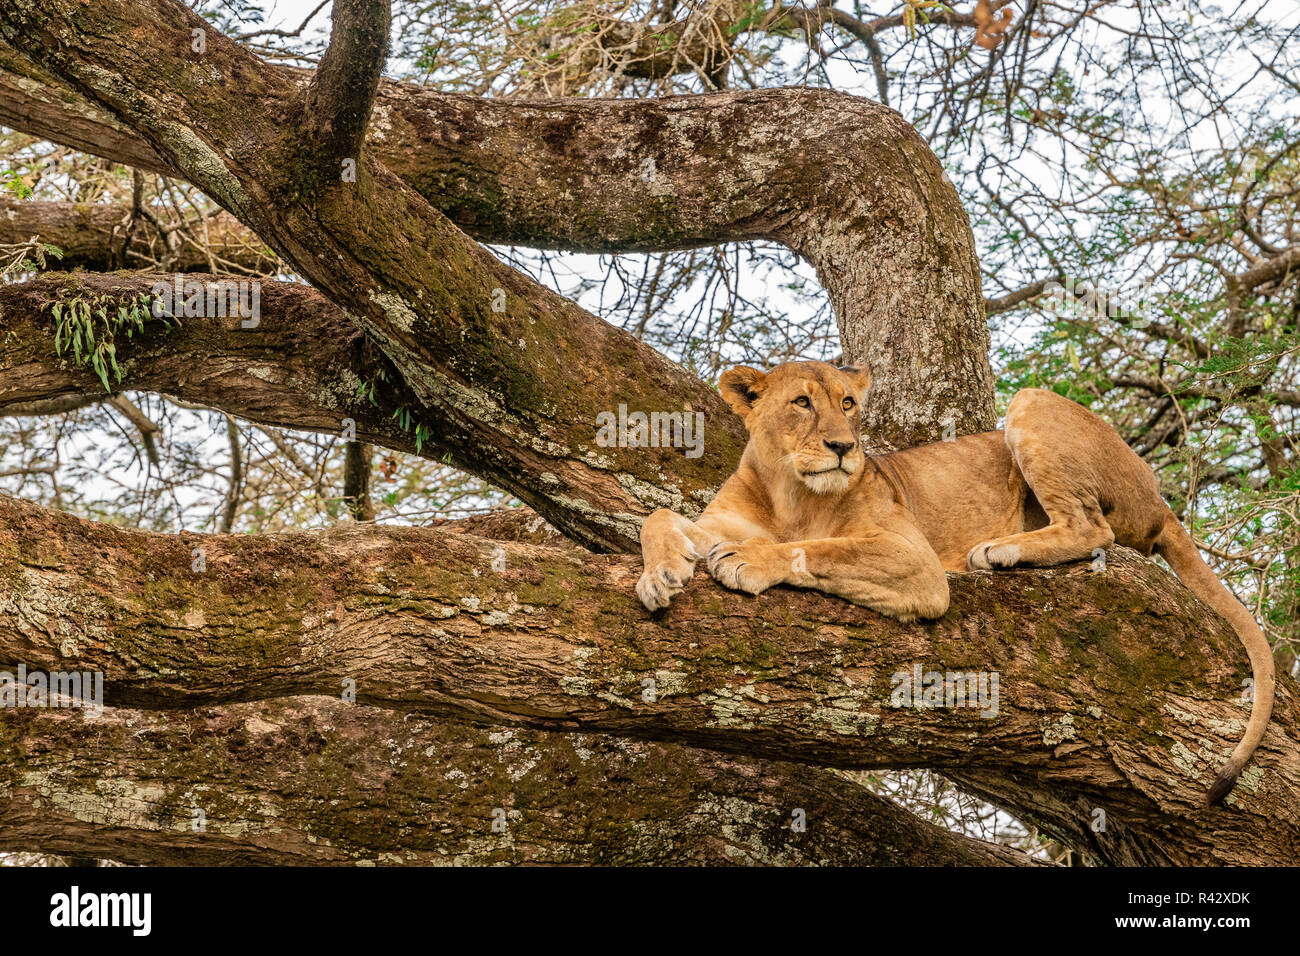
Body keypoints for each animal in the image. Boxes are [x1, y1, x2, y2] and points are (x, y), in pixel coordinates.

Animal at [636, 360, 1275, 805]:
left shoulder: (913, 559)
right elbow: (658, 517)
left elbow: (814, 548)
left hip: (1034, 408)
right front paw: (659, 576)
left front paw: (747, 561)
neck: (790, 492)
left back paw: (998, 550)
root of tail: (1160, 500)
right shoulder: (717, 520)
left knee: (1092, 528)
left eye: (848, 404)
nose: (845, 447)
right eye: (801, 403)